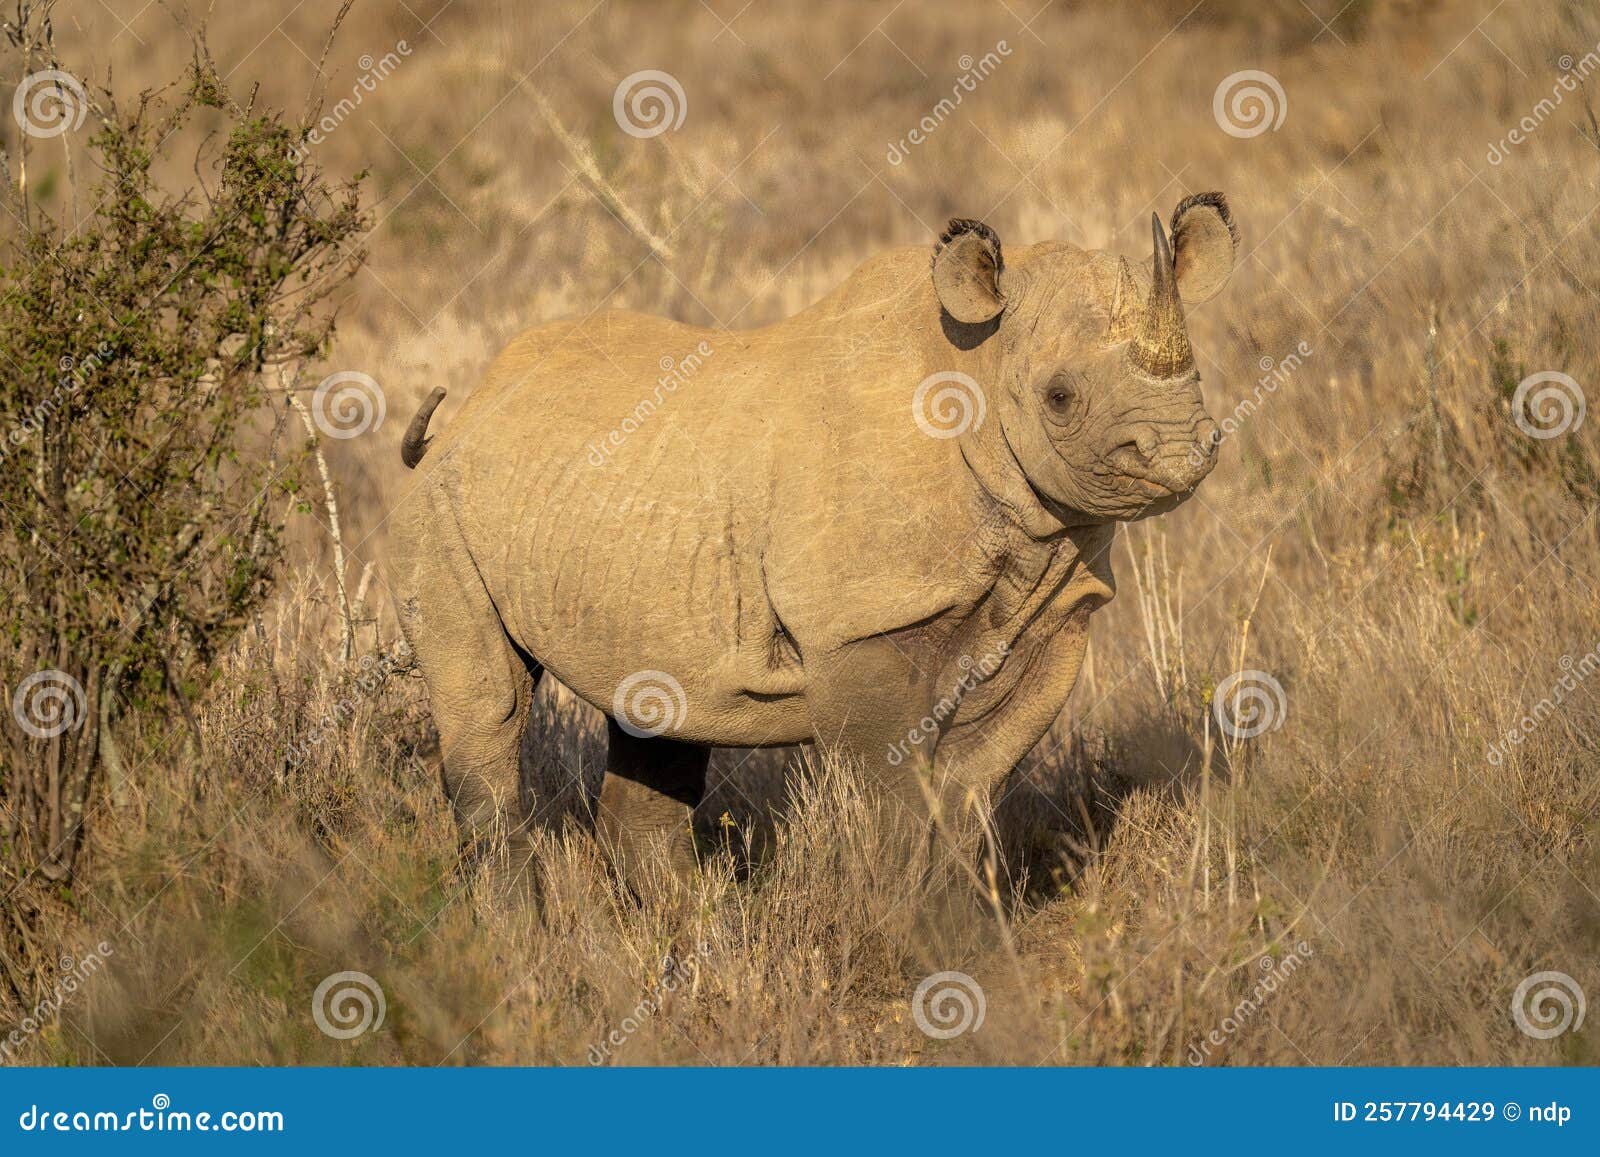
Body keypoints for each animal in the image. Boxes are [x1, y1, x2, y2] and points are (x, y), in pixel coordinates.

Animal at [389, 193, 1237, 892]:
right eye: (1061, 397)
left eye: (1199, 372)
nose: (1178, 452)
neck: (980, 367)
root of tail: (469, 410)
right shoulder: (863, 623)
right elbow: (894, 800)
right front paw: (899, 927)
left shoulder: (1055, 611)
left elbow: (971, 789)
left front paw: (959, 925)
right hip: (442, 506)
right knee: (490, 705)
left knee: (658, 704)